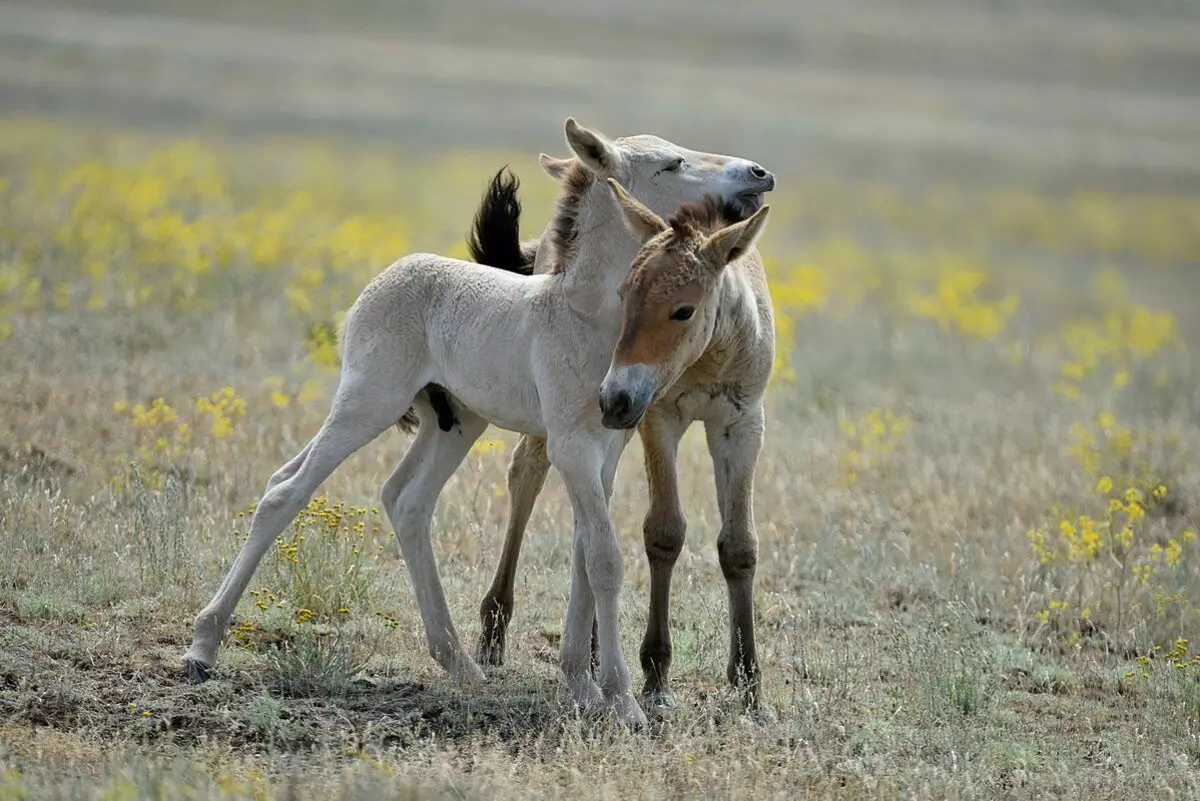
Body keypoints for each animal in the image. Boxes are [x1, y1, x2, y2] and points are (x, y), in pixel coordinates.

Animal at [487, 183, 777, 719]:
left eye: (683, 309)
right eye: (623, 297)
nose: (615, 399)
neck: (708, 354)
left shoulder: (743, 424)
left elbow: (739, 545)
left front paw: (750, 687)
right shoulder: (658, 420)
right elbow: (664, 532)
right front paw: (656, 677)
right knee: (527, 475)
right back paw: (495, 628)